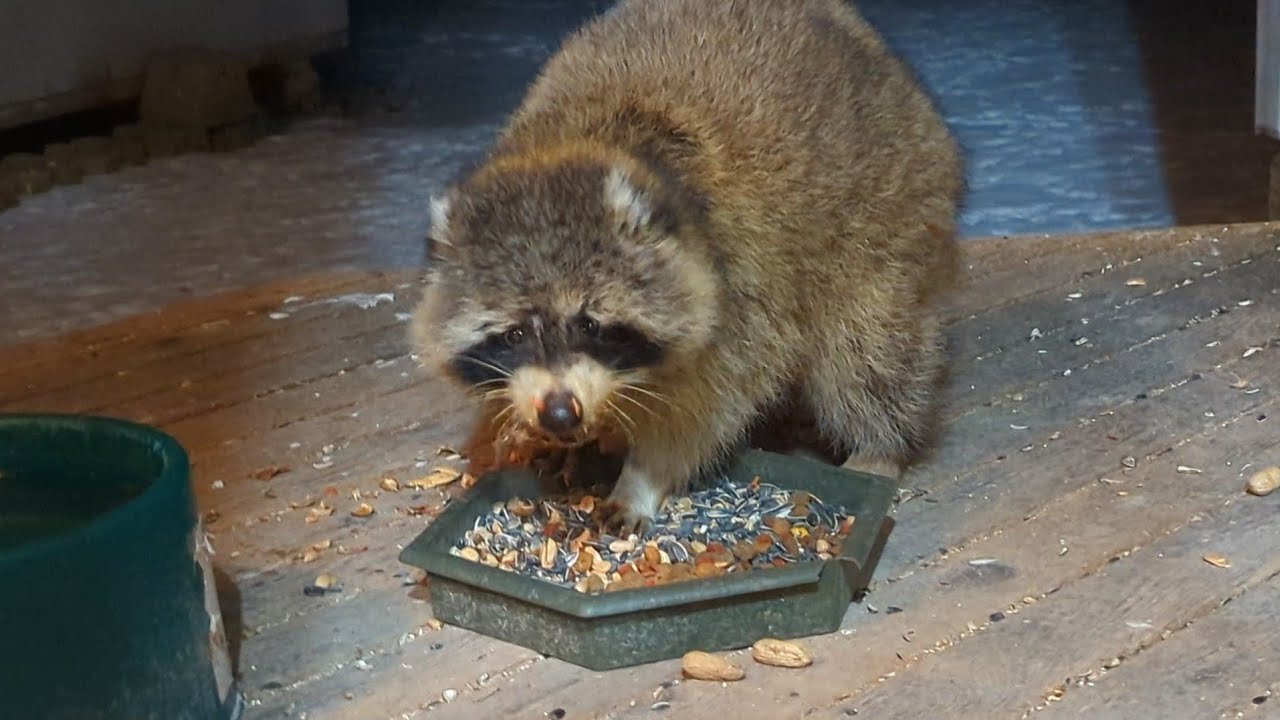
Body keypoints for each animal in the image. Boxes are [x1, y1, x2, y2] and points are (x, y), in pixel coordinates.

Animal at [411, 0, 964, 532]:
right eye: (514, 334)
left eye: (589, 324)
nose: (562, 413)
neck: (580, 141)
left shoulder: (740, 296)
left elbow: (706, 414)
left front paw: (642, 476)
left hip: (893, 204)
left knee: (867, 349)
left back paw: (880, 443)